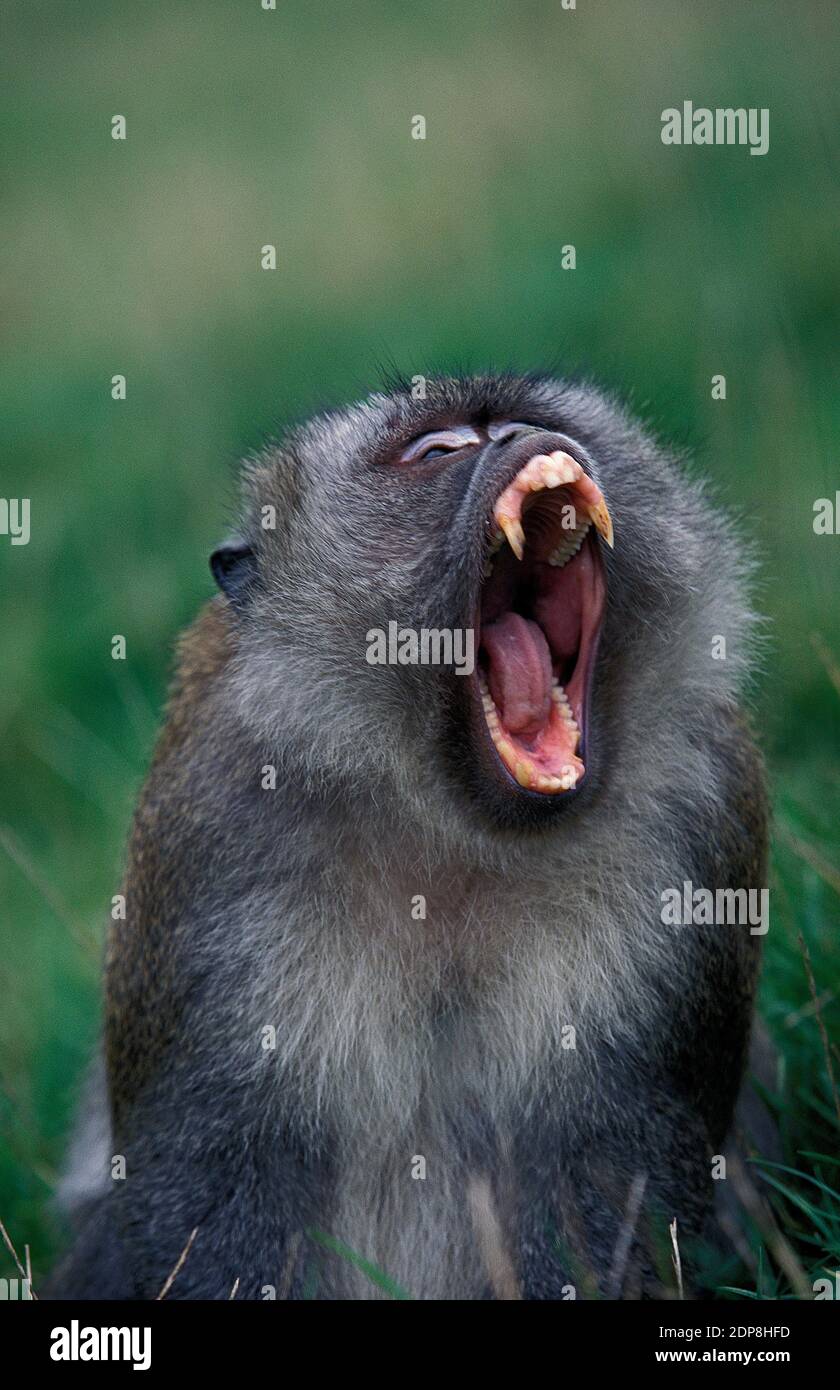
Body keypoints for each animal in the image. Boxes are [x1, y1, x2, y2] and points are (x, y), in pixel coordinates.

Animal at [46, 372, 767, 1300]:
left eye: (534, 417)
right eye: (435, 450)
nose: (526, 437)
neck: (450, 834)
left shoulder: (704, 811)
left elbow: (613, 1177)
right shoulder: (203, 842)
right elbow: (209, 1190)